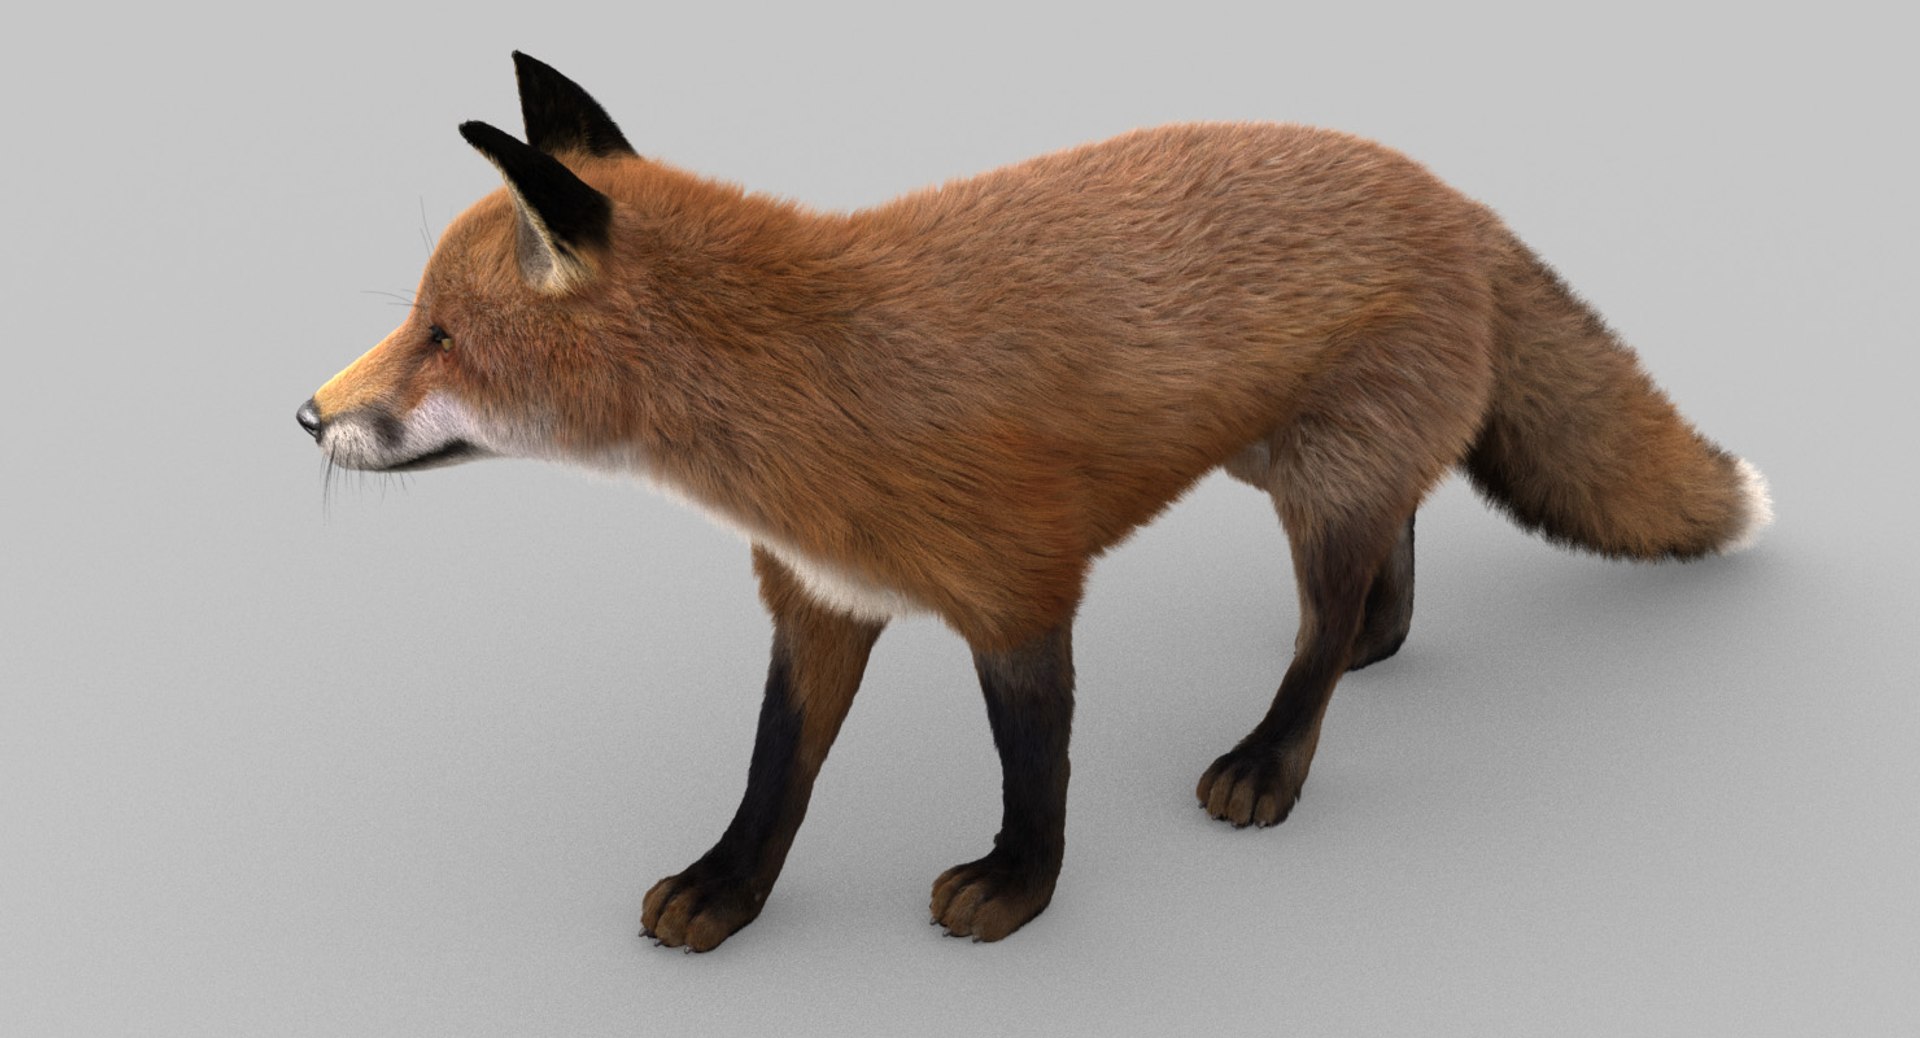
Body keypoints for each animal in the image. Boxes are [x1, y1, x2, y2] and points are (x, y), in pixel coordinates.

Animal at [299, 52, 1772, 951]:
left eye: (440, 337)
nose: (308, 416)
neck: (805, 384)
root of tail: (1450, 190)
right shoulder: (821, 600)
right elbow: (776, 770)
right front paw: (730, 885)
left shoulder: (1018, 588)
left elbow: (1035, 761)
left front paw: (1018, 888)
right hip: (1283, 458)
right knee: (1387, 553)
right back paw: (1375, 641)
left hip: (1318, 475)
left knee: (1326, 607)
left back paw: (1272, 756)